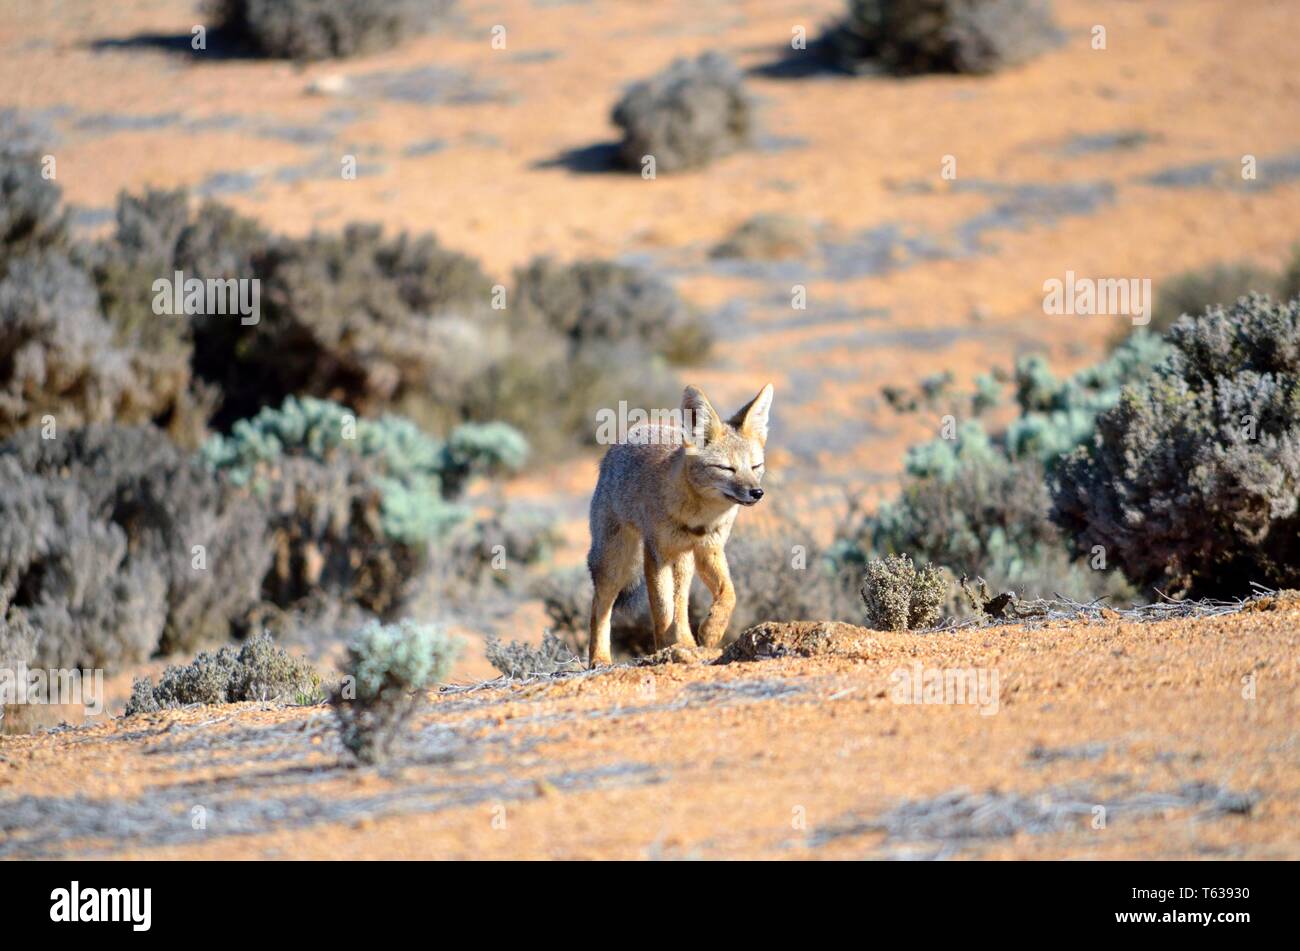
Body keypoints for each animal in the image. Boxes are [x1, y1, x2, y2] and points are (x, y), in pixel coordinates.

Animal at [586, 383, 774, 666]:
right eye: (727, 468)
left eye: (755, 466)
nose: (757, 492)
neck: (698, 519)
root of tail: (632, 432)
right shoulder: (656, 554)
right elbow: (662, 609)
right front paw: (664, 648)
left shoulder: (709, 549)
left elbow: (728, 593)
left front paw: (711, 630)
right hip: (614, 563)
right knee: (600, 607)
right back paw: (599, 658)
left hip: (683, 564)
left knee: (681, 603)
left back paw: (687, 641)